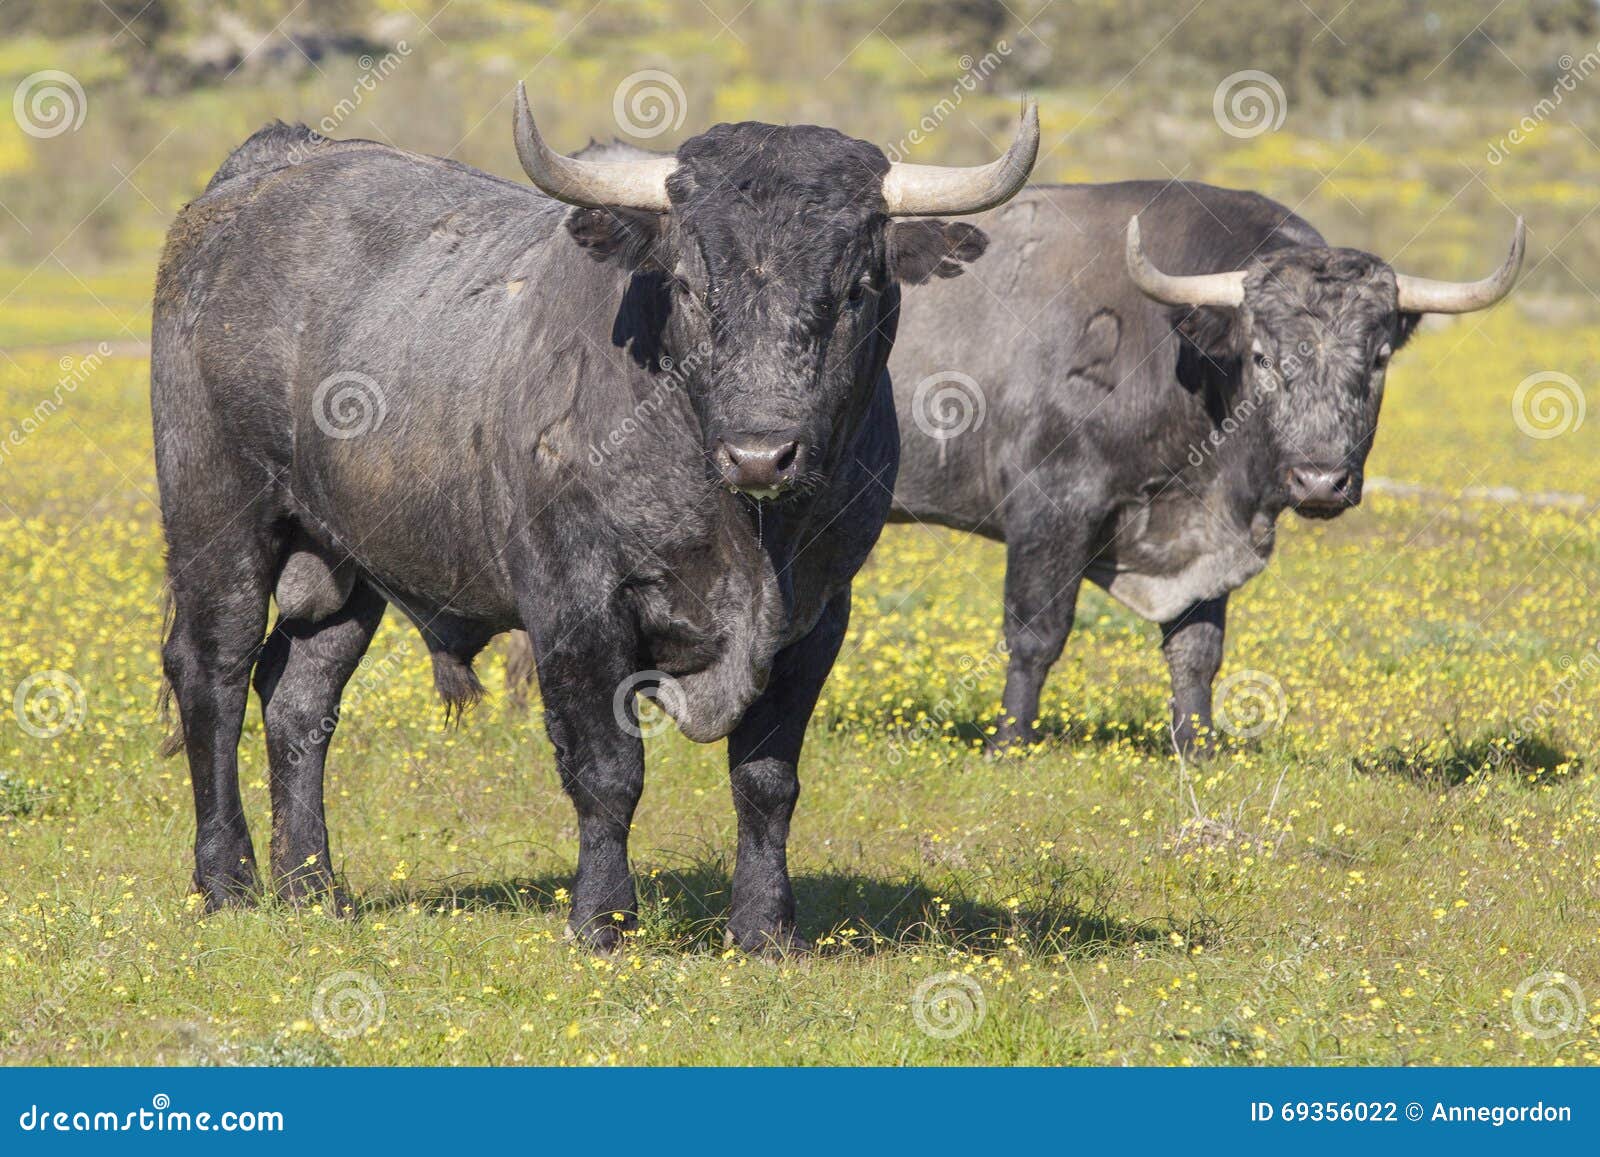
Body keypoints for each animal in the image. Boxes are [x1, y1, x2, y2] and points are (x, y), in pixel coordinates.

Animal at [151, 84, 1039, 953]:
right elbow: (608, 770)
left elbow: (766, 779)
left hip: (344, 562)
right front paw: (603, 920)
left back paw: (312, 888)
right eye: (688, 287)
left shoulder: (819, 614)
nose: (761, 454)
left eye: (856, 289)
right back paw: (226, 880)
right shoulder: (575, 604)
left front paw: (765, 928)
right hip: (217, 523)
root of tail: (262, 174)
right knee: (215, 676)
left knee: (300, 697)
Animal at [885, 181, 1523, 754]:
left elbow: (1196, 650)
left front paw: (1199, 746)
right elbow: (1036, 633)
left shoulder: (1204, 538)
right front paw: (1010, 743)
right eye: (1262, 357)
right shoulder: (1050, 509)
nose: (1321, 480)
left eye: (1379, 358)